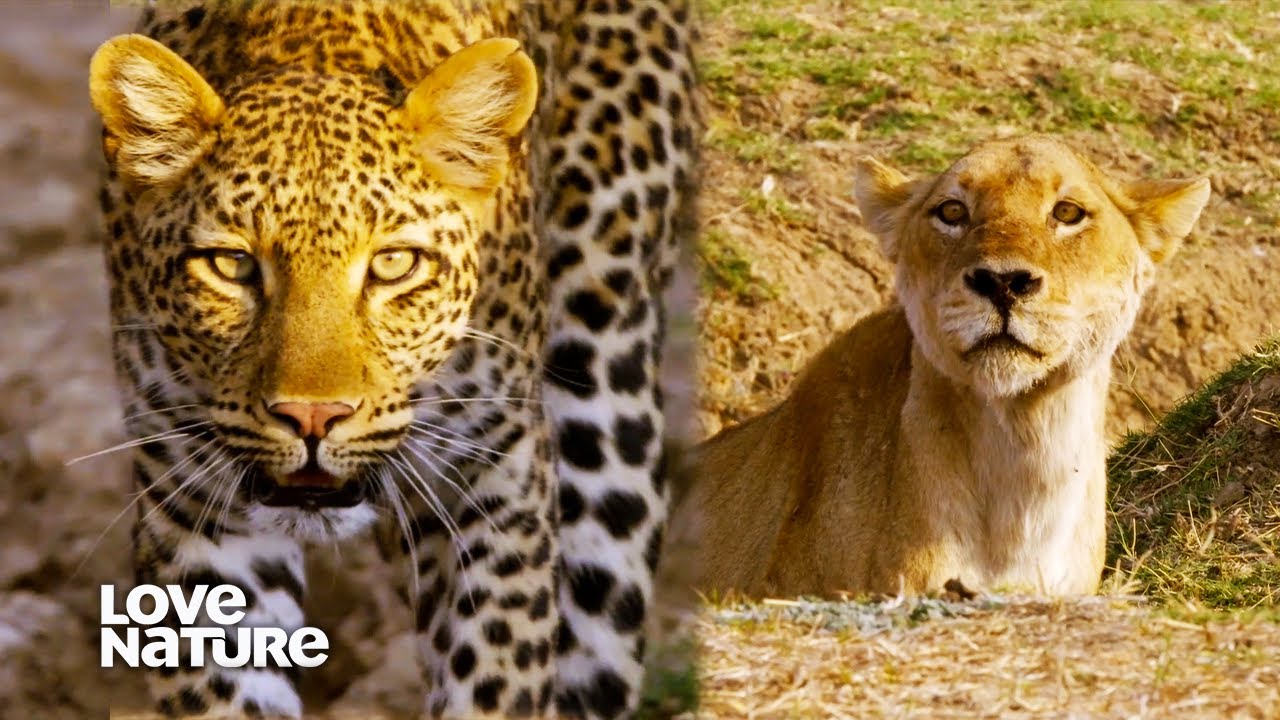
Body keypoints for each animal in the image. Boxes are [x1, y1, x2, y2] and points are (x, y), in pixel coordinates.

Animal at [87, 1, 696, 717]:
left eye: (394, 264)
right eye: (232, 265)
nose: (313, 418)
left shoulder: (493, 481)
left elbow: (494, 676)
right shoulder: (196, 510)